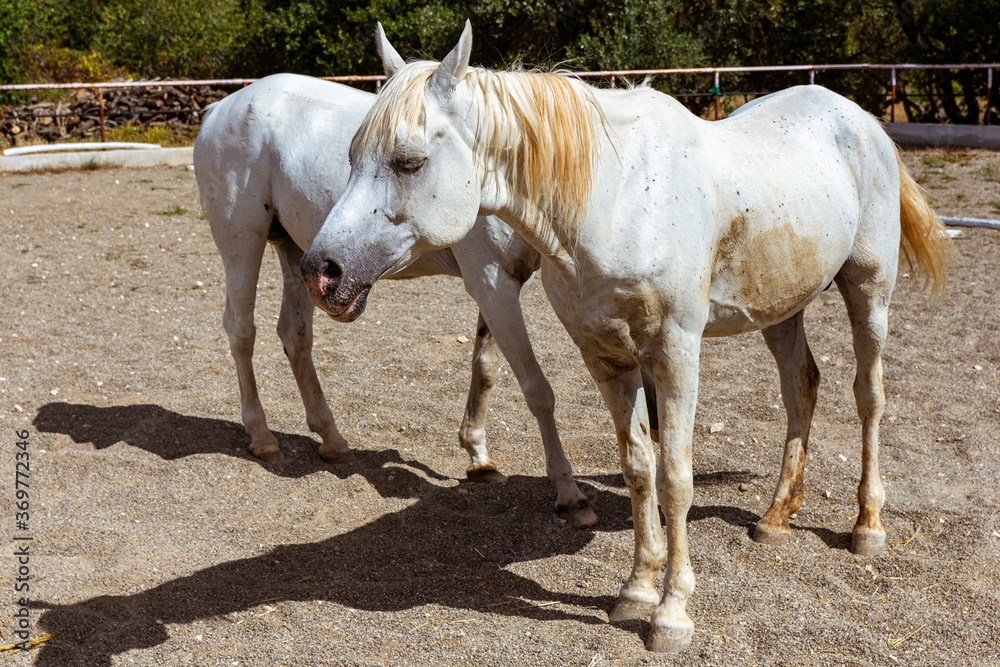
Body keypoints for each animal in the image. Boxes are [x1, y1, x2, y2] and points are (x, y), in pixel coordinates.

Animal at [192, 73, 596, 527]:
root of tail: (223, 107)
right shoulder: (492, 282)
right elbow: (536, 389)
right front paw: (570, 496)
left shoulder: (500, 286)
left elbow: (486, 368)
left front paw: (478, 457)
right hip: (242, 243)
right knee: (241, 331)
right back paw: (262, 437)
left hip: (298, 254)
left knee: (295, 337)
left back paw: (332, 439)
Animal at [299, 23, 951, 651]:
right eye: (352, 156)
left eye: (408, 162)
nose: (320, 271)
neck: (615, 201)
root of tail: (860, 119)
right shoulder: (607, 357)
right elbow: (639, 466)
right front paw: (637, 590)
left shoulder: (676, 352)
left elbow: (676, 477)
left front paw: (673, 614)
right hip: (781, 305)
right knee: (801, 388)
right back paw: (775, 516)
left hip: (868, 289)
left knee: (868, 397)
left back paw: (867, 526)